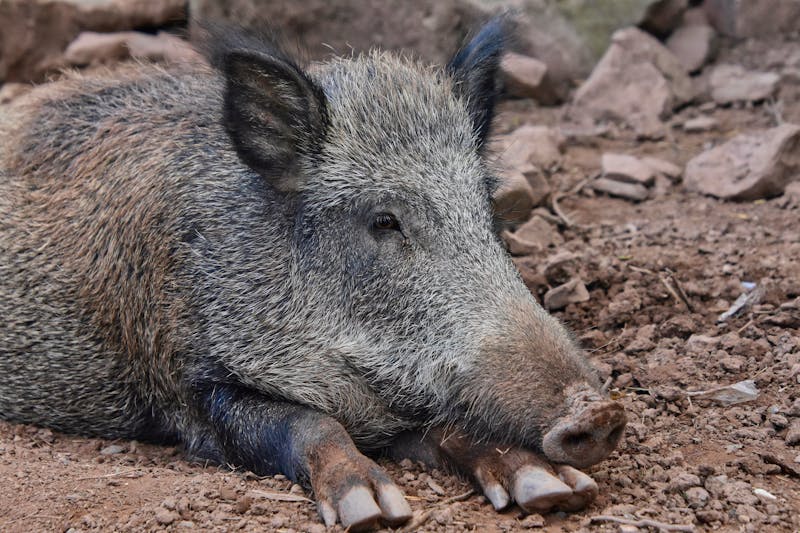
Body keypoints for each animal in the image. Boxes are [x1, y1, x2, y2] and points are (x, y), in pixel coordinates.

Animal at [0, 20, 626, 530]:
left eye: (488, 212)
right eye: (383, 220)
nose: (599, 412)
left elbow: (451, 426)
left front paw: (557, 490)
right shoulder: (190, 391)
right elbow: (308, 424)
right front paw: (372, 510)